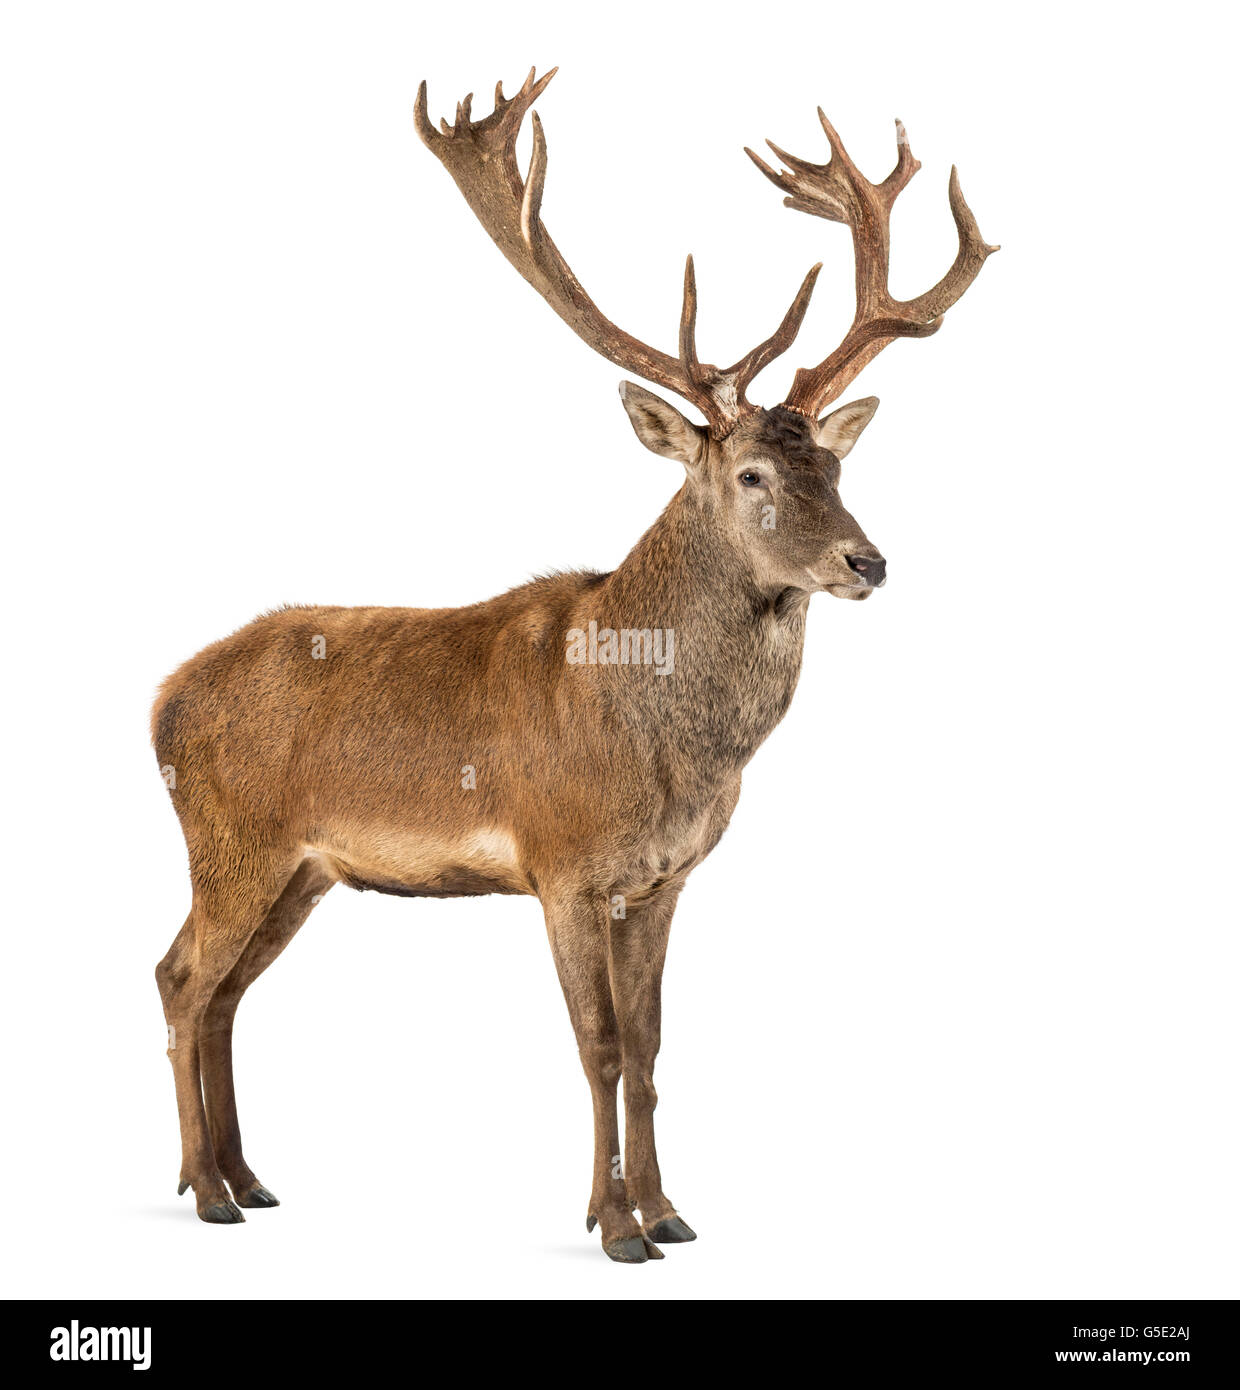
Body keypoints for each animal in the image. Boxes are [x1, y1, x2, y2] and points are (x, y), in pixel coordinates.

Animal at [152, 67, 996, 1262]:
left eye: (834, 465)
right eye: (749, 473)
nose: (867, 560)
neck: (660, 742)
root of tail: (159, 697)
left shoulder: (664, 877)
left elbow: (648, 1045)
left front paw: (672, 1210)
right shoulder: (560, 861)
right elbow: (595, 1044)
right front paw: (614, 1226)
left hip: (301, 869)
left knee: (221, 992)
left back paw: (244, 1175)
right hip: (229, 838)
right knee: (181, 977)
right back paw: (206, 1189)